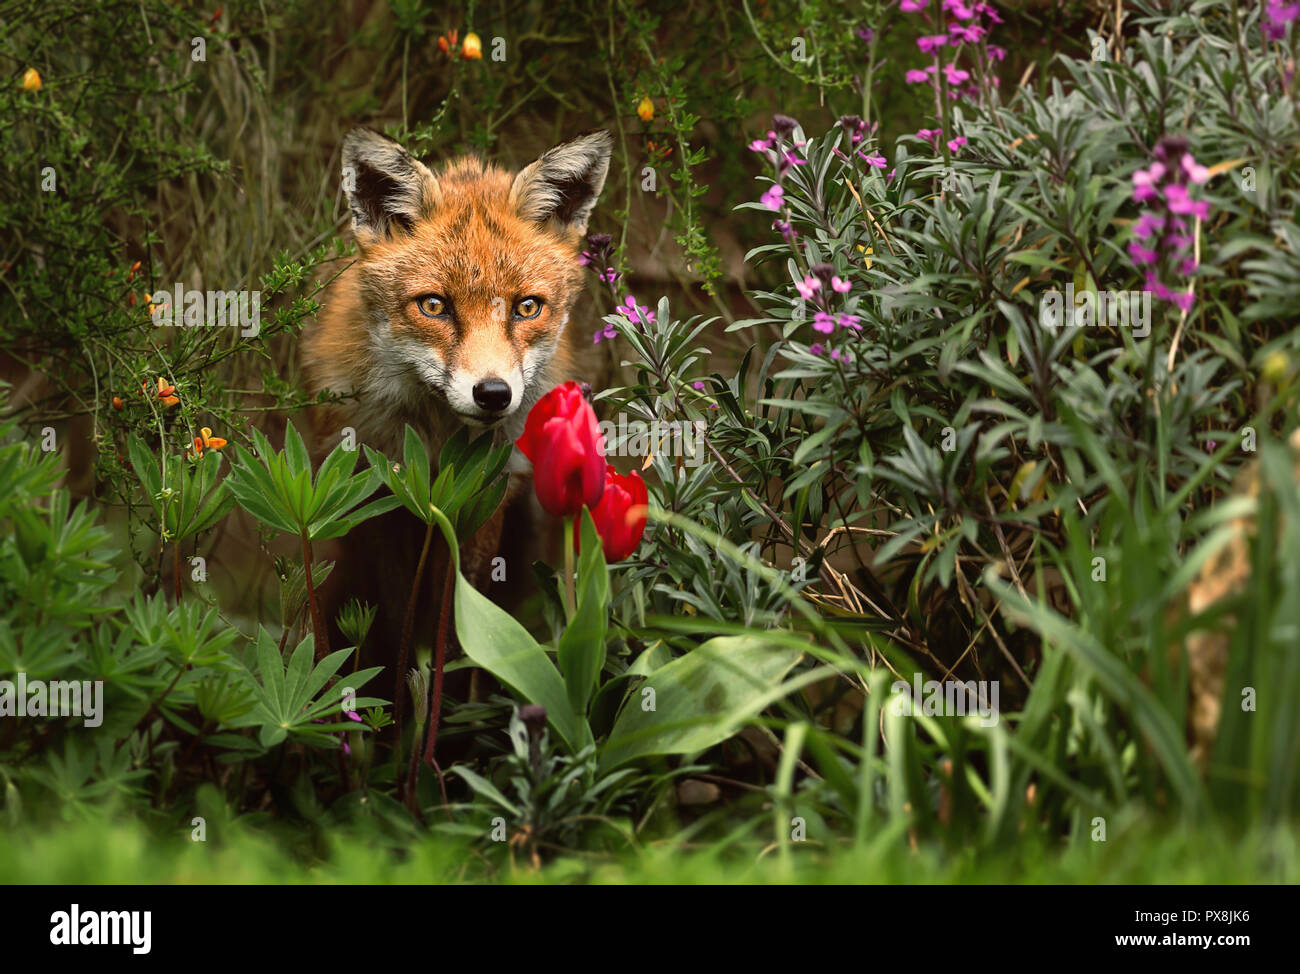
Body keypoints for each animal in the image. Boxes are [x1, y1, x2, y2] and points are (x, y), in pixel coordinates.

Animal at [301, 126, 612, 687]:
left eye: (526, 307)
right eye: (434, 306)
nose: (493, 393)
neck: (438, 442)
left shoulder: (488, 498)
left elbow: (465, 621)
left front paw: (455, 692)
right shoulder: (379, 498)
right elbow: (400, 618)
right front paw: (403, 695)